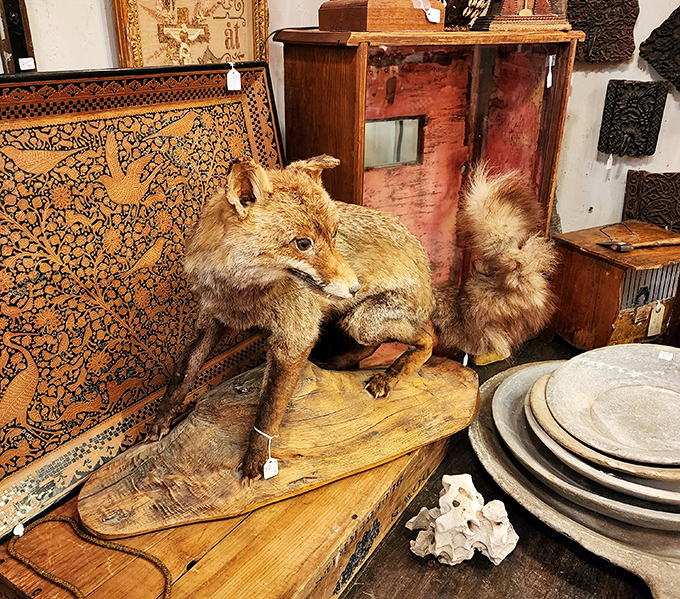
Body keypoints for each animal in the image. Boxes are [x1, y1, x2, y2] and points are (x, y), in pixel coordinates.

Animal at [147, 155, 556, 480]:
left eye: (334, 234)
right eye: (303, 243)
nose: (355, 286)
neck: (241, 295)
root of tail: (430, 280)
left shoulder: (294, 337)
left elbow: (268, 410)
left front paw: (255, 458)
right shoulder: (210, 321)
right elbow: (181, 376)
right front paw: (159, 423)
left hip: (365, 320)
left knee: (425, 338)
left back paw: (392, 373)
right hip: (351, 322)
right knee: (364, 349)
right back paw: (337, 365)